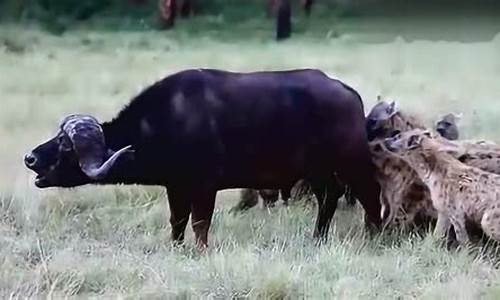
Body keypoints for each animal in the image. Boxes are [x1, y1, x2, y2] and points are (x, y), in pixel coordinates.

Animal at [23, 69, 380, 247]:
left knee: (370, 196)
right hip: (318, 171)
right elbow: (178, 221)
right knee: (329, 197)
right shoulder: (176, 187)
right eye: (58, 137)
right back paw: (317, 238)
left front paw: (200, 250)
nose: (30, 158)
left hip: (352, 162)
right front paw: (176, 247)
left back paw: (374, 235)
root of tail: (349, 94)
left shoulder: (205, 187)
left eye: (66, 145)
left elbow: (200, 223)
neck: (166, 121)